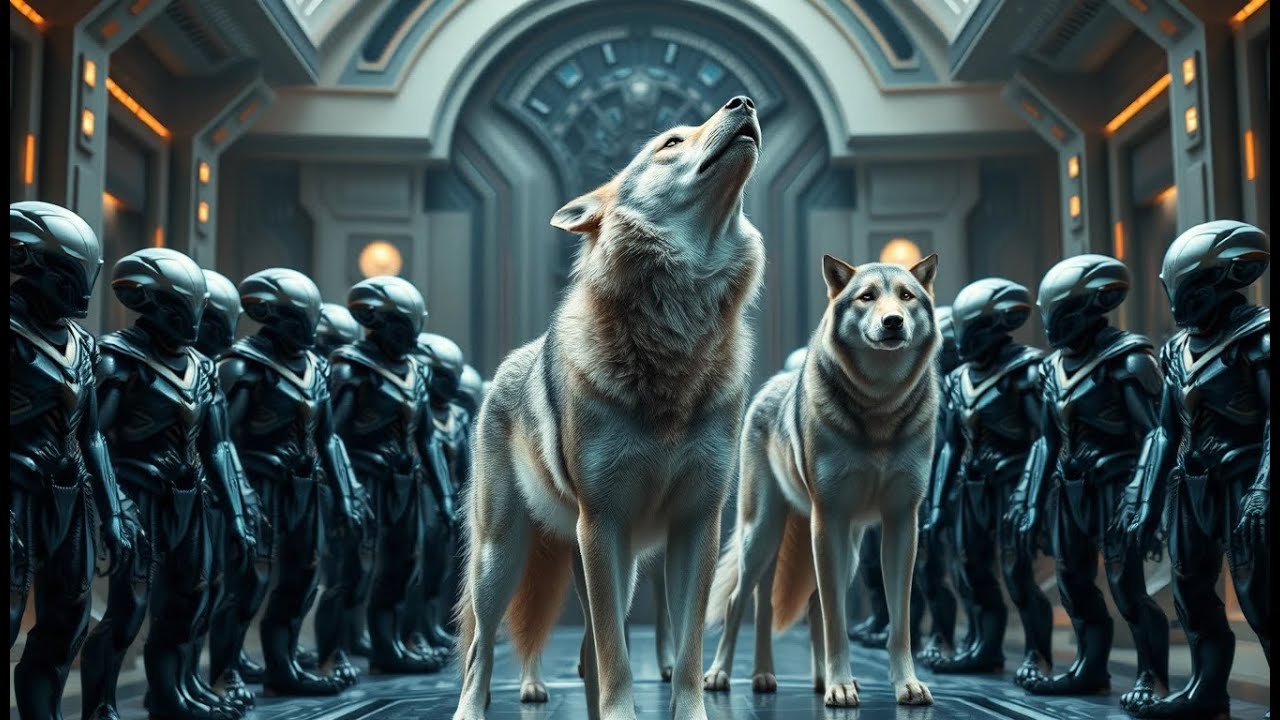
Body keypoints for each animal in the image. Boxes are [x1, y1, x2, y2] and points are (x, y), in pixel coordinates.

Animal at [453, 96, 765, 720]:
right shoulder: (603, 522)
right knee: (482, 648)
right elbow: (616, 659)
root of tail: (508, 362)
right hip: (505, 557)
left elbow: (685, 653)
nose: (743, 100)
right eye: (670, 141)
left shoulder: (698, 522)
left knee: (583, 653)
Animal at [704, 253, 940, 708]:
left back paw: (797, 678)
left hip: (846, 551)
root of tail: (772, 383)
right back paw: (726, 674)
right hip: (763, 536)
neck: (880, 406)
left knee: (796, 606)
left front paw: (906, 685)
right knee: (743, 602)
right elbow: (835, 623)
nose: (893, 322)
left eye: (906, 296)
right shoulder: (827, 519)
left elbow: (898, 622)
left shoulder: (902, 522)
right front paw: (841, 687)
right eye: (867, 297)